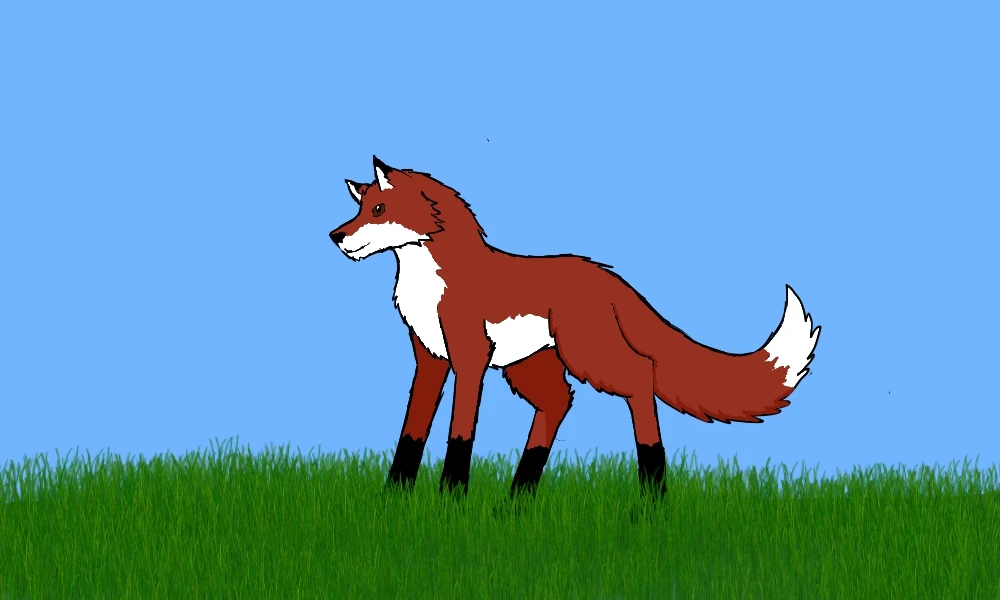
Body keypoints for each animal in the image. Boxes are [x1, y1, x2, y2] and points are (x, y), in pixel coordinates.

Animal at [329, 156, 820, 500]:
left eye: (378, 209)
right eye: (359, 210)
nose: (336, 236)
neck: (430, 282)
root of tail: (606, 276)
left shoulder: (470, 358)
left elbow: (460, 436)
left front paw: (451, 503)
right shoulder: (430, 359)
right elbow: (411, 435)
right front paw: (394, 503)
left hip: (587, 356)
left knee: (640, 377)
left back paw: (651, 501)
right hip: (531, 366)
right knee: (559, 403)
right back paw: (514, 504)